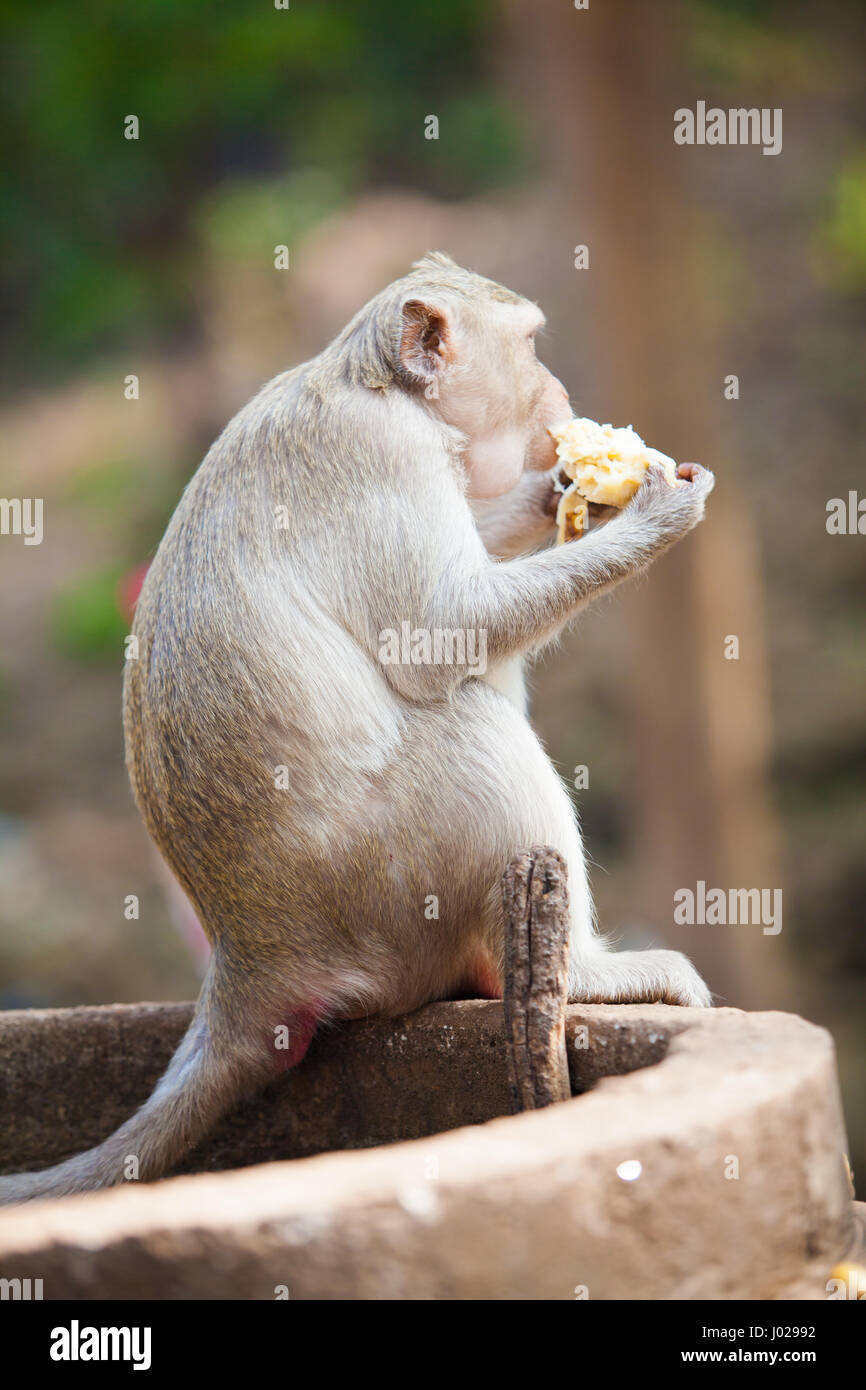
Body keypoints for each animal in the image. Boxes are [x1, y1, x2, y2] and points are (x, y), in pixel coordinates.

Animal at [0, 253, 714, 1204]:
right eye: (531, 344)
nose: (560, 395)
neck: (376, 386)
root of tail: (251, 964)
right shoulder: (385, 455)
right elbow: (443, 632)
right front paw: (651, 511)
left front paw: (564, 489)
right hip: (390, 887)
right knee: (467, 718)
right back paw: (586, 972)